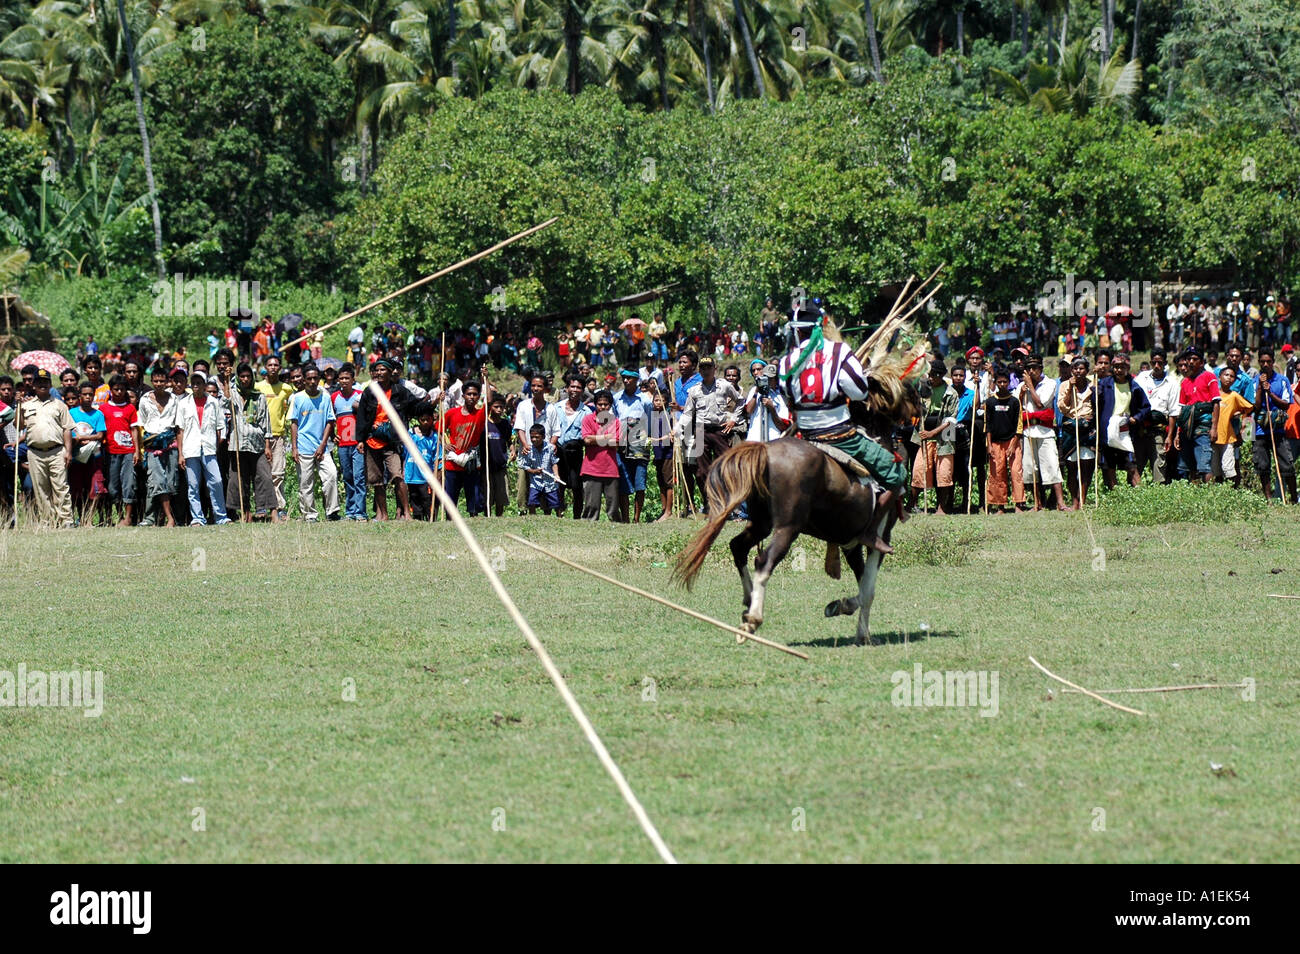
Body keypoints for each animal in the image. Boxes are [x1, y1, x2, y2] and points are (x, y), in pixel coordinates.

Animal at [673, 349, 924, 646]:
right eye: (908, 388)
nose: (920, 410)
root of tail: (765, 451)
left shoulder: (849, 541)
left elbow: (863, 582)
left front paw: (850, 618)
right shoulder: (878, 538)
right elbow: (868, 590)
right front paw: (850, 616)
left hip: (762, 523)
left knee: (739, 548)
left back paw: (748, 601)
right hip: (787, 527)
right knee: (764, 561)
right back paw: (752, 619)